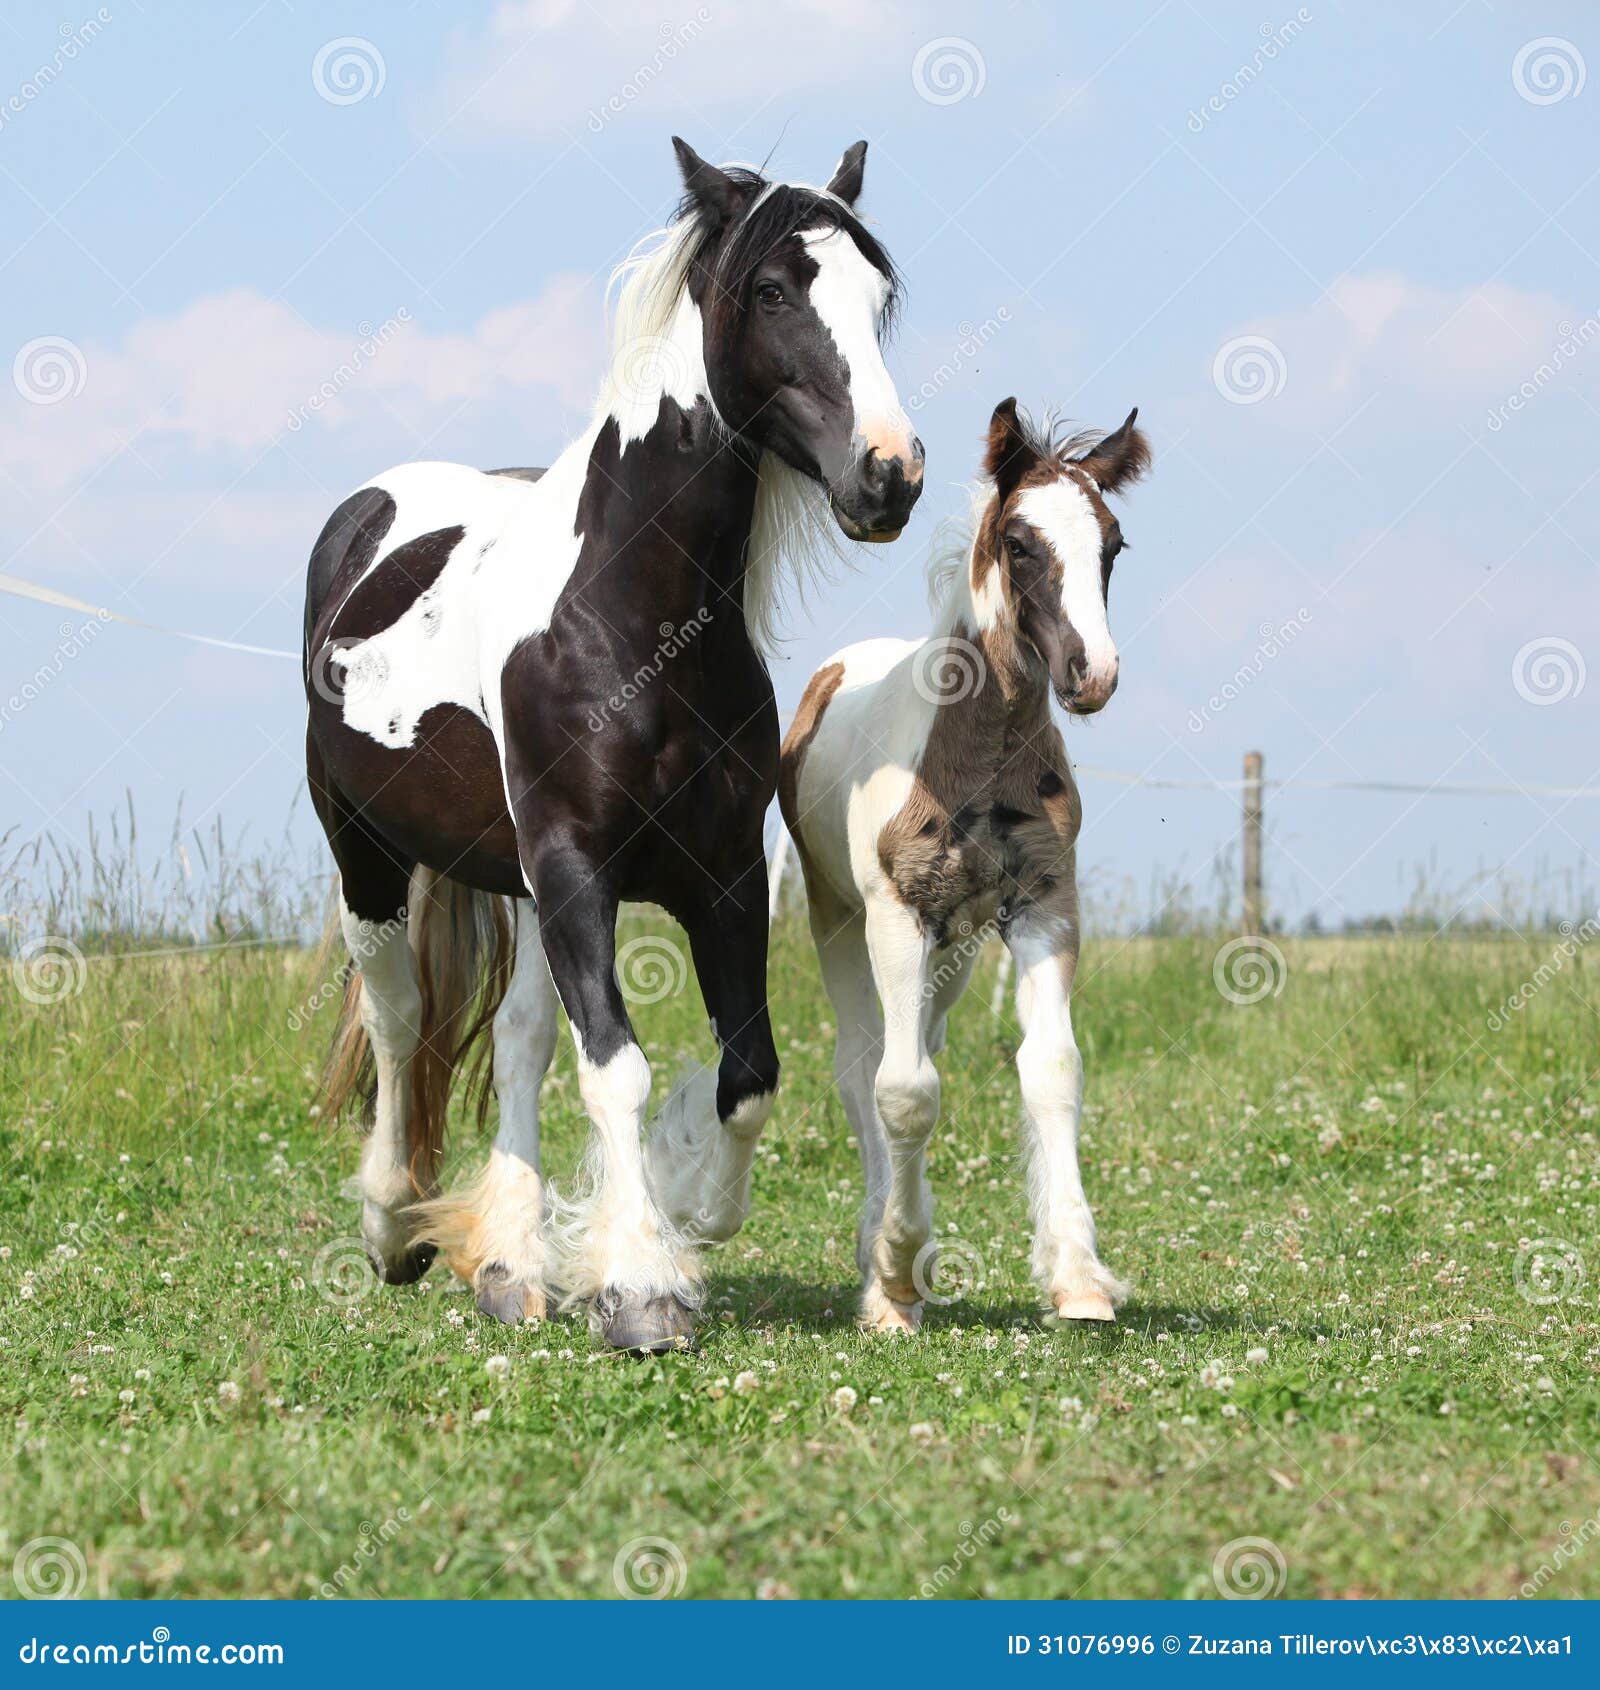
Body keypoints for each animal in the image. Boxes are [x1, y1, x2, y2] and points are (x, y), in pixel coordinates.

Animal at [302, 137, 923, 1353]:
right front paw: (638, 1288)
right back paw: (394, 1220)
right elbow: (618, 1073)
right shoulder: (578, 869)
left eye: (881, 296)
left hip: (521, 890)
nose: (889, 473)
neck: (629, 625)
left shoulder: (722, 877)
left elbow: (746, 1077)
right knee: (400, 1022)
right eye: (772, 291)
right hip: (371, 860)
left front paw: (675, 1210)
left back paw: (507, 1265)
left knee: (519, 1040)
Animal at [776, 397, 1149, 1333]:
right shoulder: (896, 912)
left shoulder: (1044, 905)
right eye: (1018, 542)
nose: (1093, 674)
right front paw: (896, 1278)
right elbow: (904, 1090)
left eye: (1113, 543)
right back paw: (878, 1253)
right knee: (864, 1065)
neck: (981, 757)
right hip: (841, 920)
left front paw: (1078, 1278)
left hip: (959, 945)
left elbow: (1052, 1070)